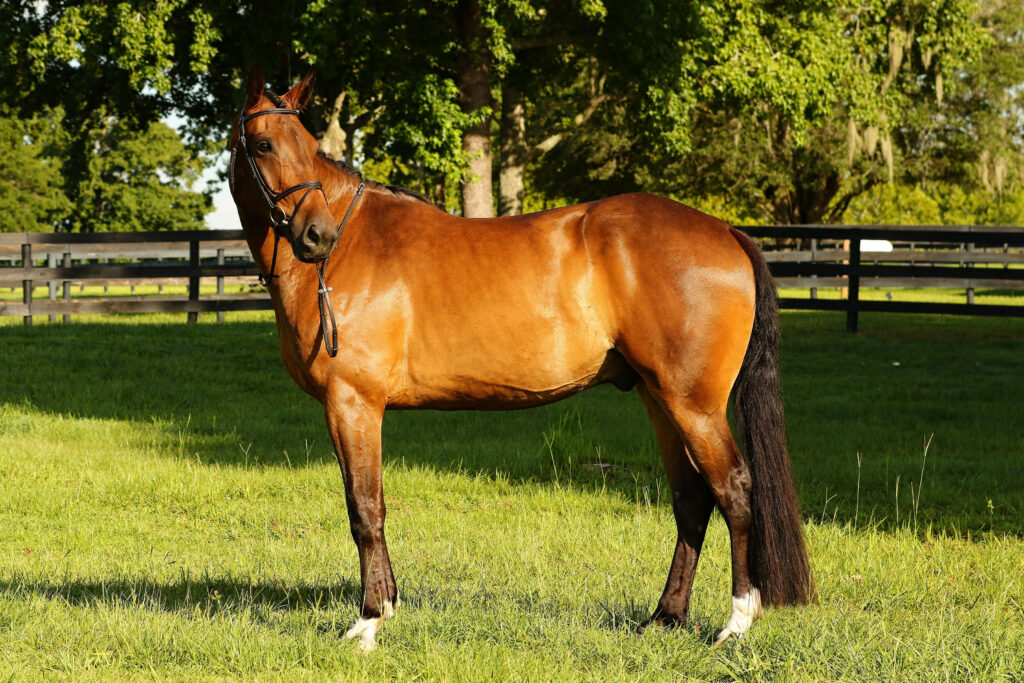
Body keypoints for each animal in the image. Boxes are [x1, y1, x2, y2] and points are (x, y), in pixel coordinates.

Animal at [228, 65, 814, 651]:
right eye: (264, 144)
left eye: (308, 145)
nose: (316, 235)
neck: (348, 249)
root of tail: (726, 231)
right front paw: (387, 605)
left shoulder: (353, 403)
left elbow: (365, 509)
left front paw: (369, 621)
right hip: (660, 399)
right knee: (691, 499)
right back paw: (664, 617)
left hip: (694, 405)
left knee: (735, 490)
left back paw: (737, 622)